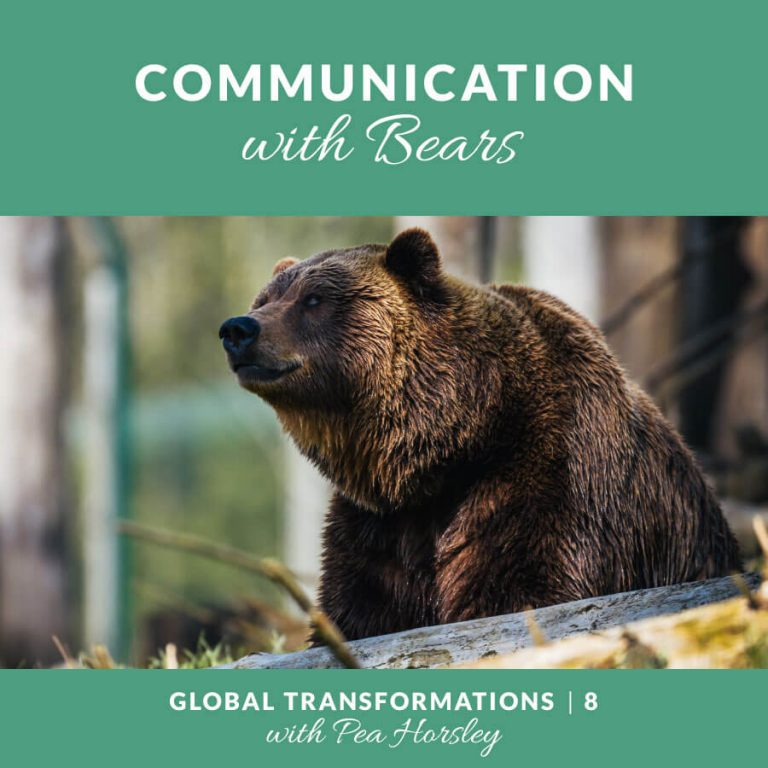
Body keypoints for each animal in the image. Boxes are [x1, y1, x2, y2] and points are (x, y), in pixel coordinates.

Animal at [219, 228, 742, 642]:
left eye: (314, 299)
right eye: (265, 300)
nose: (238, 328)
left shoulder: (548, 477)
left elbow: (520, 589)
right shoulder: (380, 526)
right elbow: (360, 609)